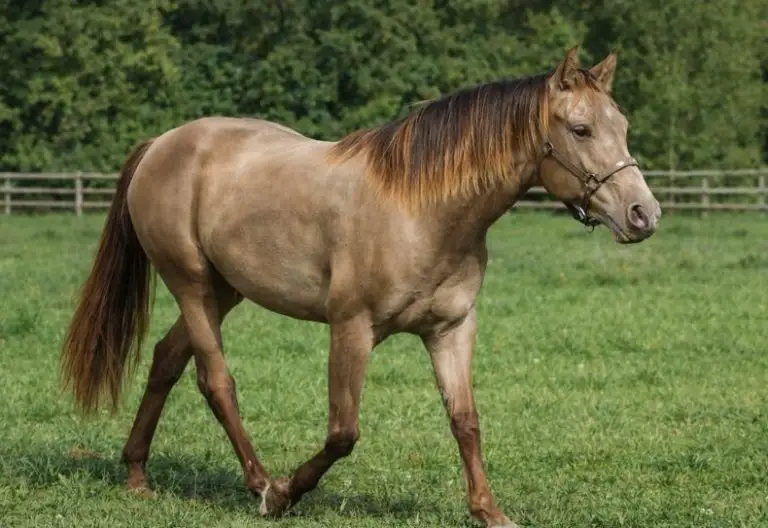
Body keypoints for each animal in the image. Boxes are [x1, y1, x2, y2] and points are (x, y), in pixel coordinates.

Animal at [60, 47, 661, 528]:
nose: (644, 215)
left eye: (623, 125)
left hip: (224, 290)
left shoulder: (450, 330)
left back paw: (137, 475)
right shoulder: (351, 330)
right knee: (216, 381)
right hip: (191, 285)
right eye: (580, 130)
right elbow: (342, 432)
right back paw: (260, 485)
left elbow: (465, 421)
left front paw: (490, 512)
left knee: (166, 359)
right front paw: (286, 493)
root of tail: (163, 143)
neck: (422, 210)